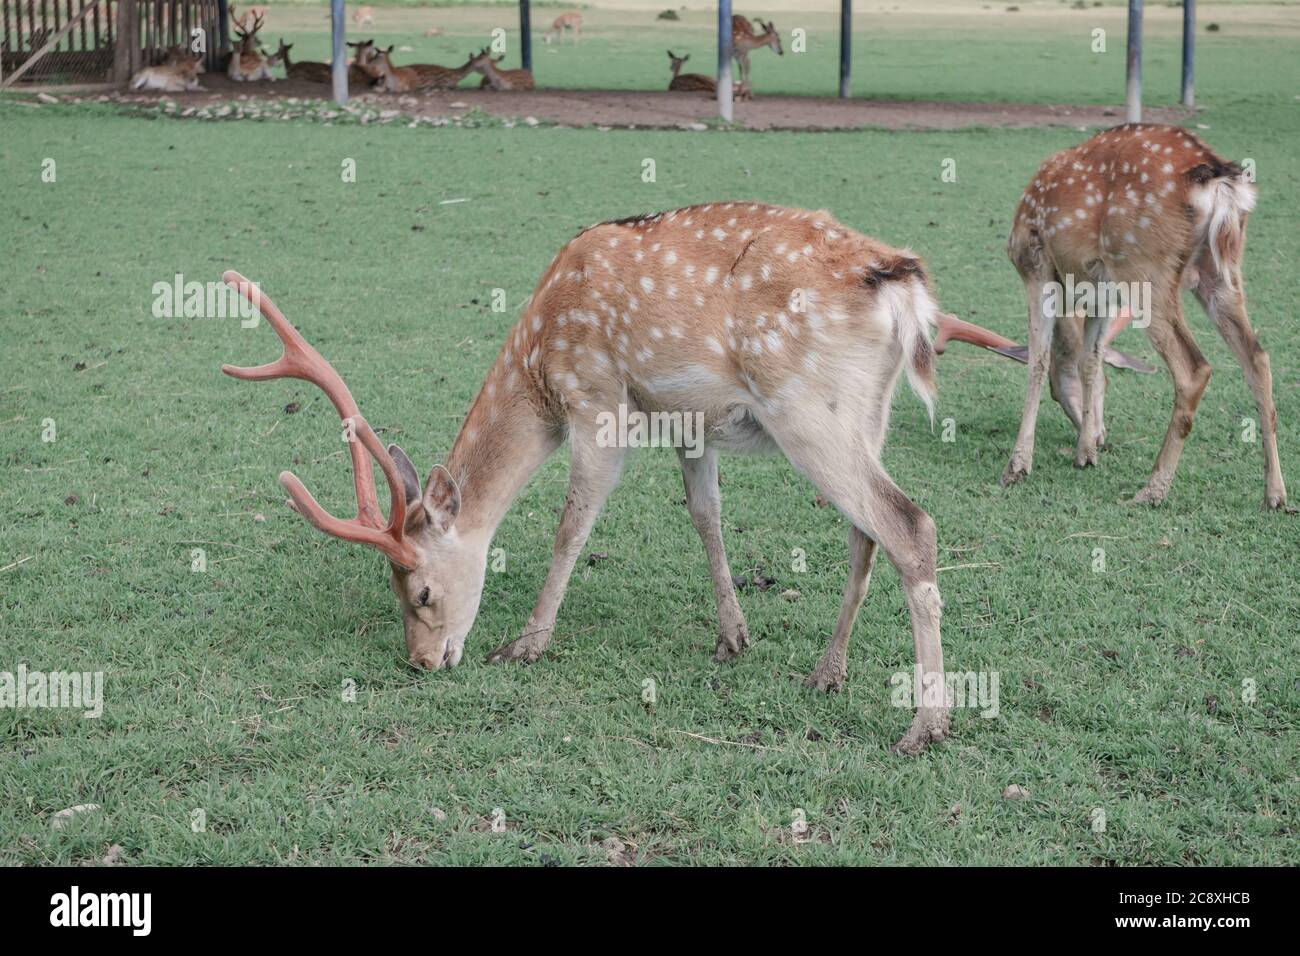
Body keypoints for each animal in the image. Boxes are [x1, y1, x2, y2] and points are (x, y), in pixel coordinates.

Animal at [221, 203, 953, 754]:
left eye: (422, 592)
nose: (423, 662)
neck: (539, 362)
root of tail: (903, 284)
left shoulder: (597, 400)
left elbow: (572, 526)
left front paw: (524, 646)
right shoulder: (689, 422)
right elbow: (705, 515)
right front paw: (732, 637)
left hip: (803, 405)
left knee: (909, 523)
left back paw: (924, 726)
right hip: (869, 413)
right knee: (866, 531)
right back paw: (828, 672)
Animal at [1002, 123, 1287, 510]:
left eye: (1058, 393)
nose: (1102, 438)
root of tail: (1219, 178)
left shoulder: (1035, 264)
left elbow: (1039, 360)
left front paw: (1018, 466)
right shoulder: (1102, 295)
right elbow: (1090, 361)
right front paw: (1085, 453)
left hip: (1144, 268)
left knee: (1194, 367)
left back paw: (1153, 489)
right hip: (1221, 271)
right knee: (1257, 358)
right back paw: (1275, 494)